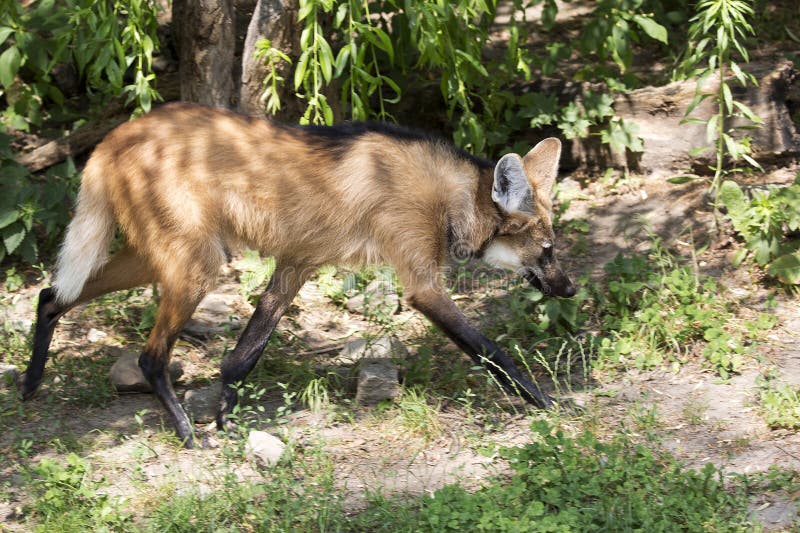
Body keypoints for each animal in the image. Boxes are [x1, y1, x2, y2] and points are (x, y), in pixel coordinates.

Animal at [18, 102, 575, 447]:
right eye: (547, 251)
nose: (568, 288)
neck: (450, 198)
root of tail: (116, 134)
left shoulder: (298, 263)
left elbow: (244, 354)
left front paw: (227, 413)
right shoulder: (420, 284)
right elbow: (491, 349)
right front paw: (546, 401)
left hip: (156, 255)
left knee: (52, 293)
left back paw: (29, 384)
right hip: (196, 266)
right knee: (150, 356)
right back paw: (185, 433)